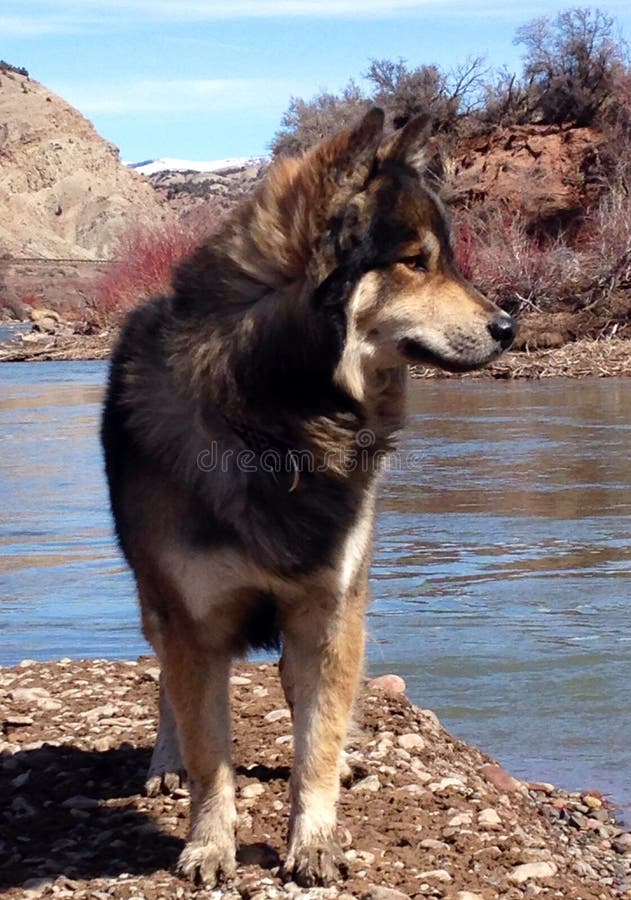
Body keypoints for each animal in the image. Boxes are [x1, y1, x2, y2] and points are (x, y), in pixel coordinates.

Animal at [101, 108, 515, 888]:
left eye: (444, 258)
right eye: (414, 260)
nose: (509, 327)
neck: (280, 421)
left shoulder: (330, 606)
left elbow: (314, 740)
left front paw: (314, 839)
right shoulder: (194, 620)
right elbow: (209, 751)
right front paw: (209, 842)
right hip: (153, 600)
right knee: (166, 686)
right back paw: (166, 760)